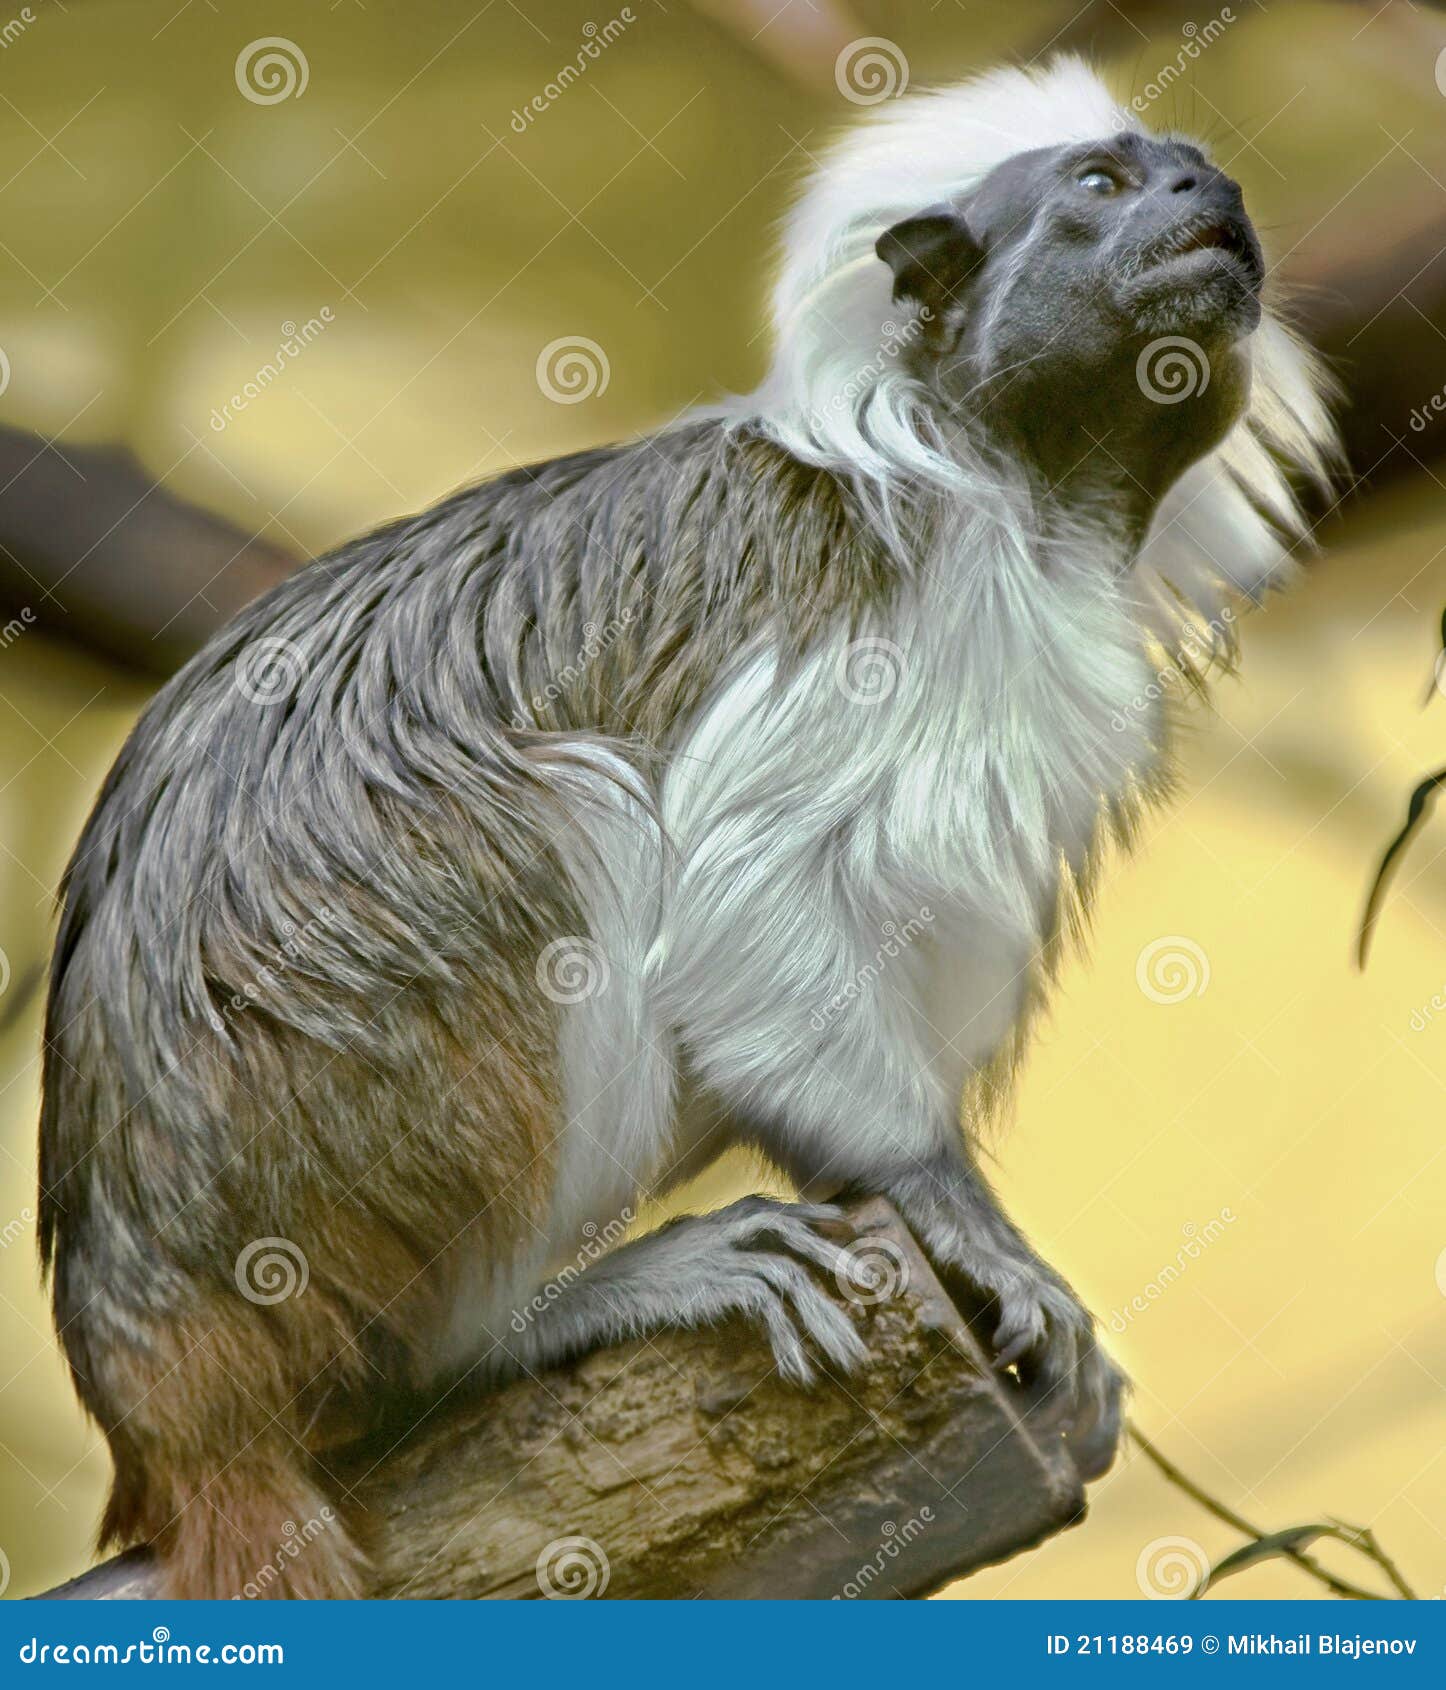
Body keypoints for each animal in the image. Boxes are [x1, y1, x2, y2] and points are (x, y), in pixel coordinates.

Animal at [37, 57, 1337, 1599]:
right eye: (1101, 183)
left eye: (1197, 174)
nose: (1212, 195)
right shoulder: (862, 603)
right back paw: (522, 1319)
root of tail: (152, 1375)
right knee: (563, 824)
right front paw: (952, 1211)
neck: (1022, 496)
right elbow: (740, 894)